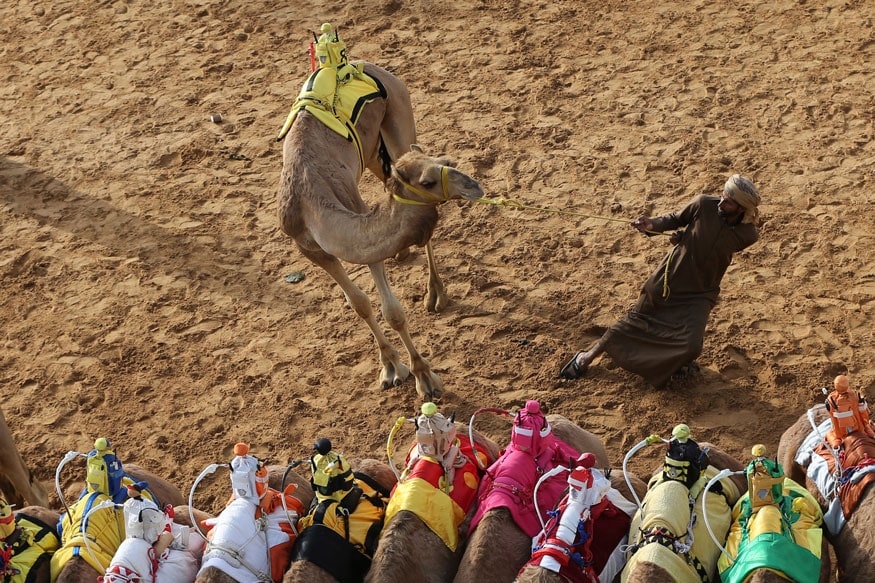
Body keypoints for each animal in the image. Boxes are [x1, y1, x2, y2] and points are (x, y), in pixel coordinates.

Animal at [277, 55, 484, 401]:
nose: (473, 186)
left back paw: (435, 294)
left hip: (399, 118)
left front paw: (424, 377)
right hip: (374, 153)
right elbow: (359, 304)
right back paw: (403, 255)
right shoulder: (310, 248)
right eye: (428, 181)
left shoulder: (359, 221)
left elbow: (393, 312)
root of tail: (374, 68)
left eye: (447, 162)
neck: (311, 204)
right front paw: (389, 367)